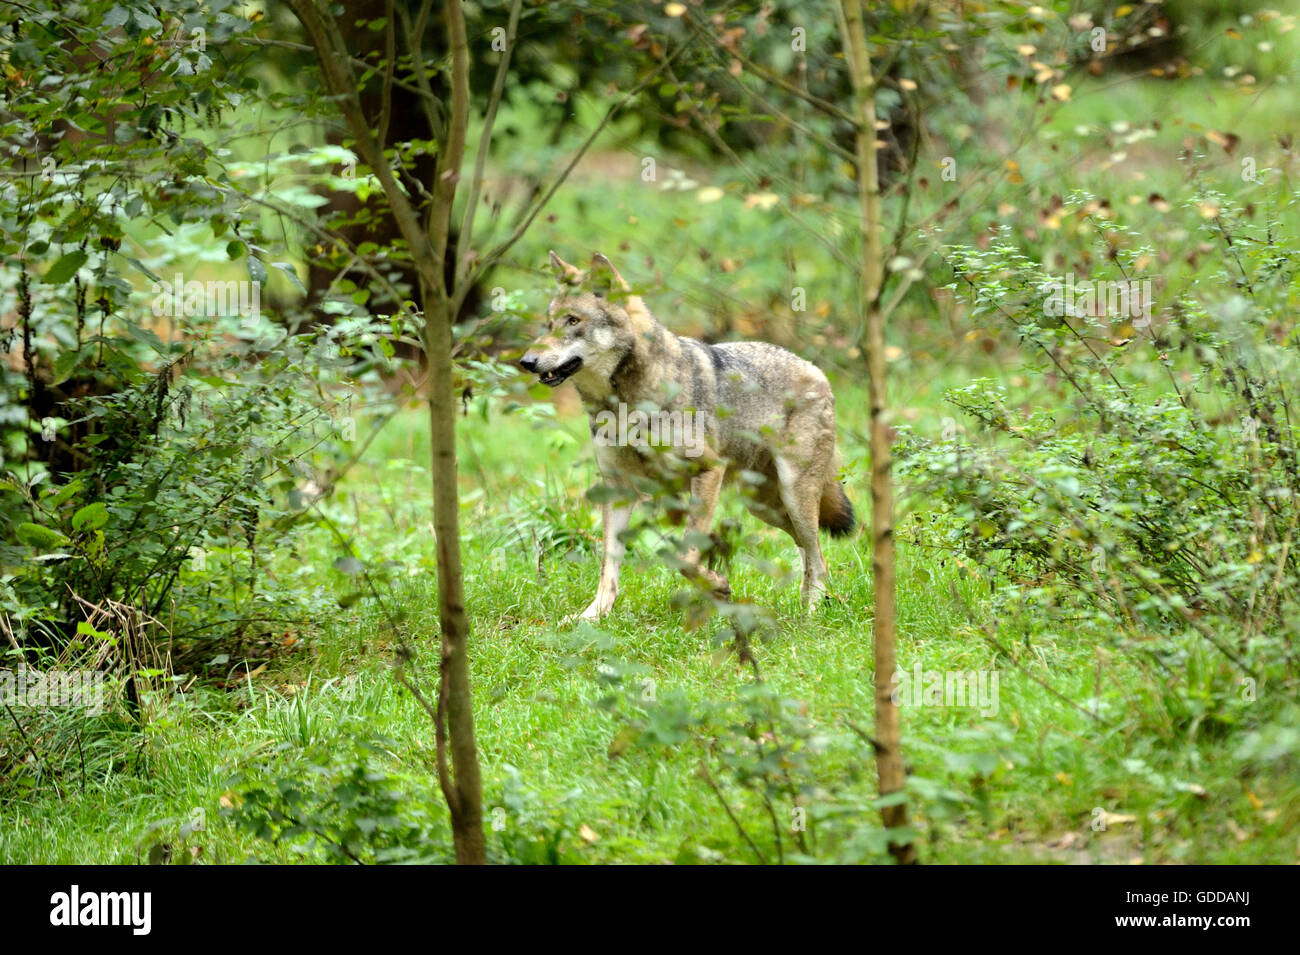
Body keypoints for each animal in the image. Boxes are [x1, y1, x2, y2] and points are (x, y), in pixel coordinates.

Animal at [520, 251, 854, 620]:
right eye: (549, 323)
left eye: (573, 320)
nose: (526, 361)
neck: (624, 403)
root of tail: (816, 370)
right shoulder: (617, 488)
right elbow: (608, 567)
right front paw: (593, 617)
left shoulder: (707, 471)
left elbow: (685, 557)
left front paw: (717, 585)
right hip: (765, 506)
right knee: (809, 551)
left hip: (793, 496)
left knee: (817, 553)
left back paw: (811, 613)